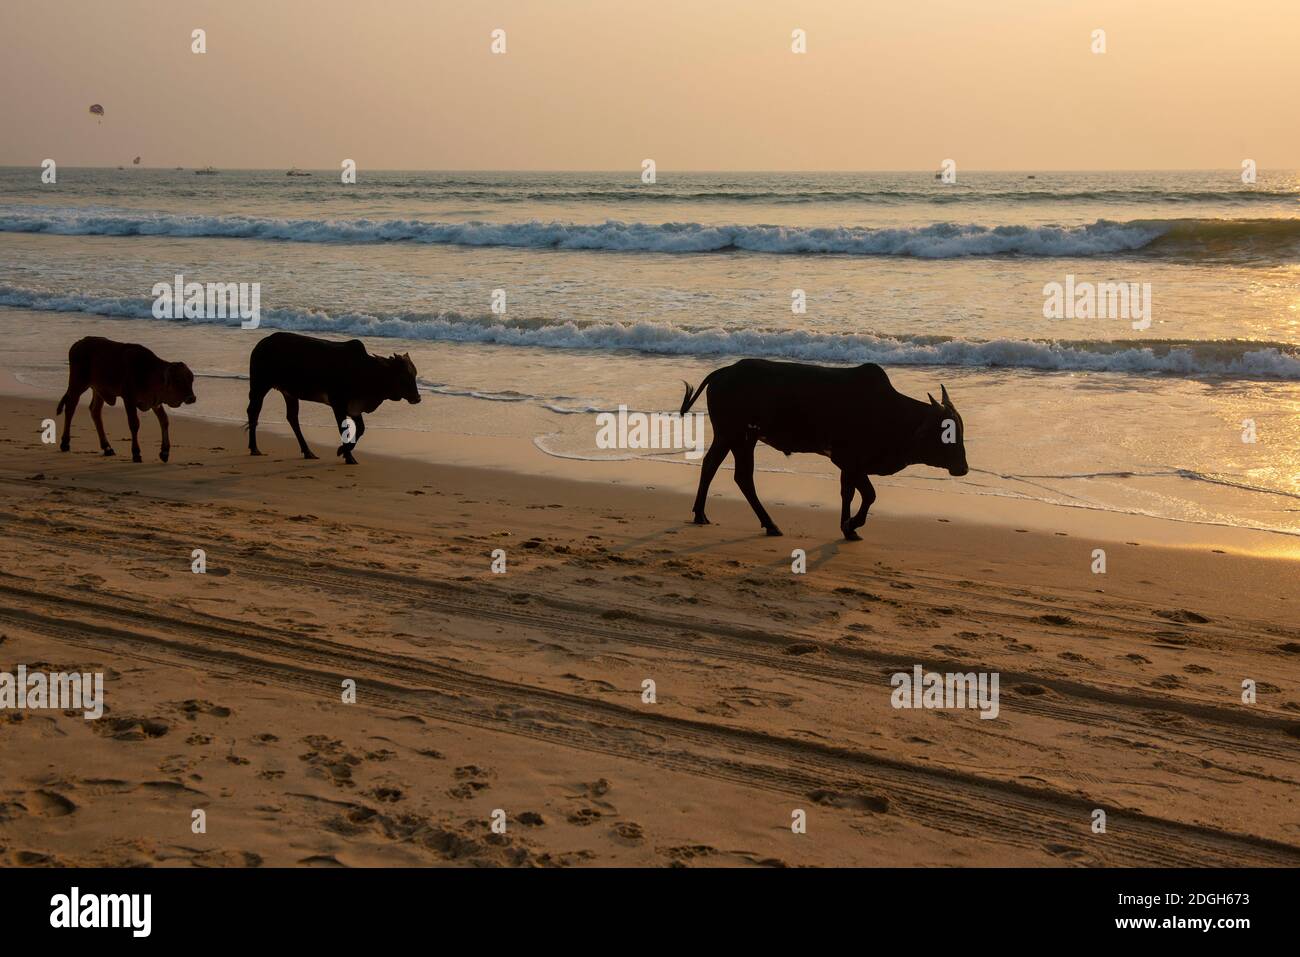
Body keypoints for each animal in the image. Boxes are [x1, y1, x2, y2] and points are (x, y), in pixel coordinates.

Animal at [56, 336, 197, 463]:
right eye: (178, 380)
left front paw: (165, 452)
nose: (192, 398)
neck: (149, 372)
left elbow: (164, 421)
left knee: (95, 411)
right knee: (70, 408)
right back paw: (65, 443)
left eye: (191, 379)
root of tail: (78, 343)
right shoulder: (129, 399)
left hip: (98, 390)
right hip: (77, 384)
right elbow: (134, 424)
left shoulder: (154, 402)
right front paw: (136, 453)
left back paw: (107, 447)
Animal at [246, 332, 421, 465]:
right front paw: (346, 454)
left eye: (414, 374)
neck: (365, 370)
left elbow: (361, 429)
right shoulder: (338, 404)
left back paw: (308, 451)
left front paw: (345, 452)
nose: (417, 398)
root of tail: (263, 342)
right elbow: (344, 430)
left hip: (289, 393)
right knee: (253, 411)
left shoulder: (354, 408)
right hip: (260, 385)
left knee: (292, 417)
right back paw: (254, 448)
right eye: (403, 377)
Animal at [679, 359, 968, 540]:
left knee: (719, 468)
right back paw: (765, 523)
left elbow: (850, 494)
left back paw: (705, 514)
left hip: (734, 438)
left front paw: (848, 528)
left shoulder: (850, 466)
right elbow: (868, 494)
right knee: (735, 474)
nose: (963, 468)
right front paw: (852, 524)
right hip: (736, 436)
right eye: (947, 433)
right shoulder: (847, 460)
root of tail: (723, 372)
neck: (893, 414)